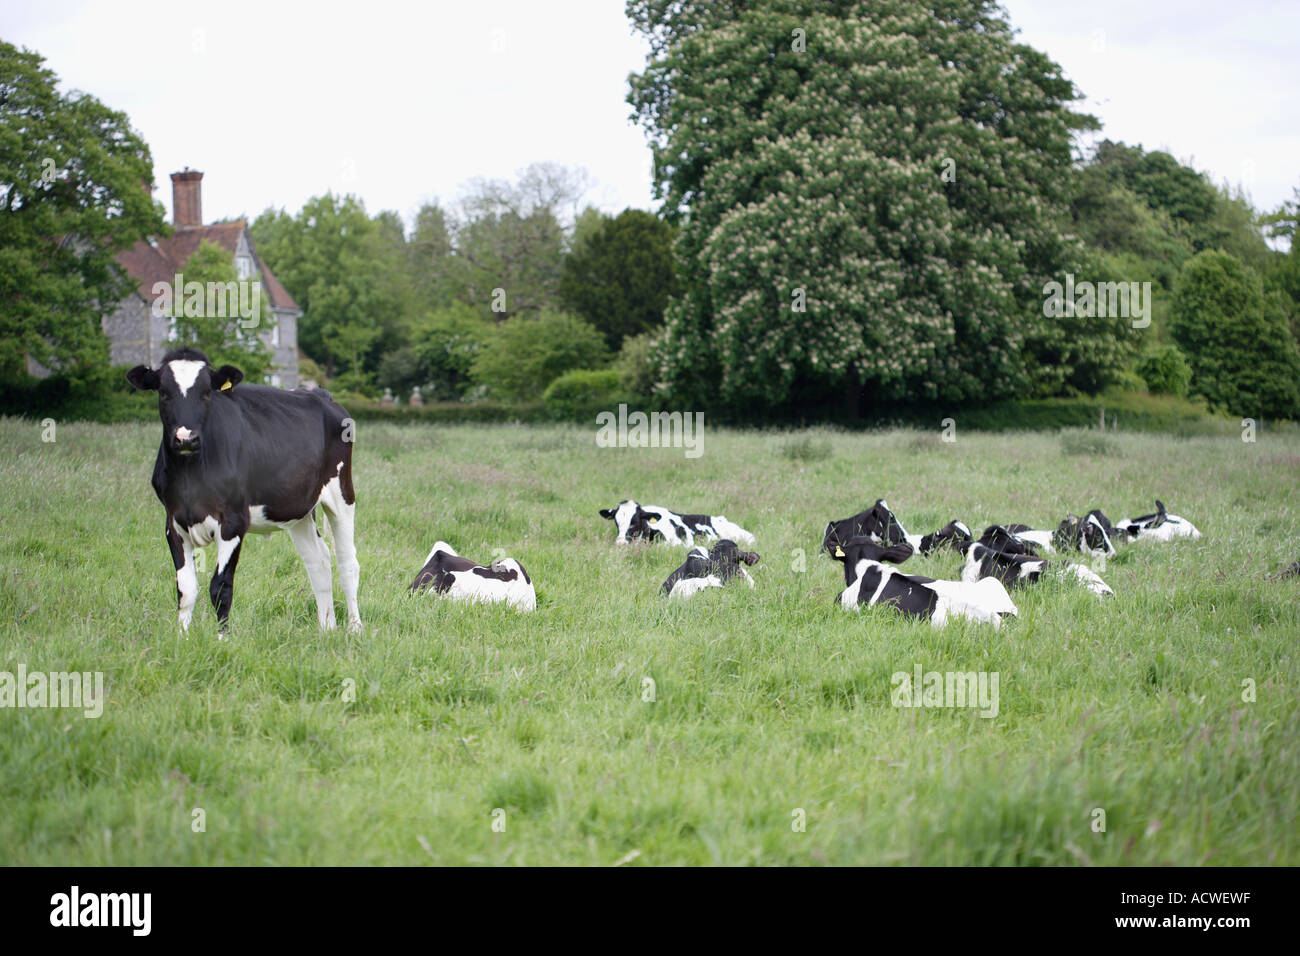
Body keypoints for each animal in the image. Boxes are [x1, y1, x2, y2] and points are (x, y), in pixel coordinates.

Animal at [127, 348, 361, 634]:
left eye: (206, 392)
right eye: (163, 393)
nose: (186, 438)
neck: (191, 476)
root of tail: (320, 394)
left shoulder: (233, 520)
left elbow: (221, 587)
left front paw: (222, 639)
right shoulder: (174, 522)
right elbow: (185, 589)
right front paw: (182, 638)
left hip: (341, 495)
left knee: (347, 562)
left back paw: (354, 628)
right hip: (298, 511)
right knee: (318, 561)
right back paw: (326, 629)